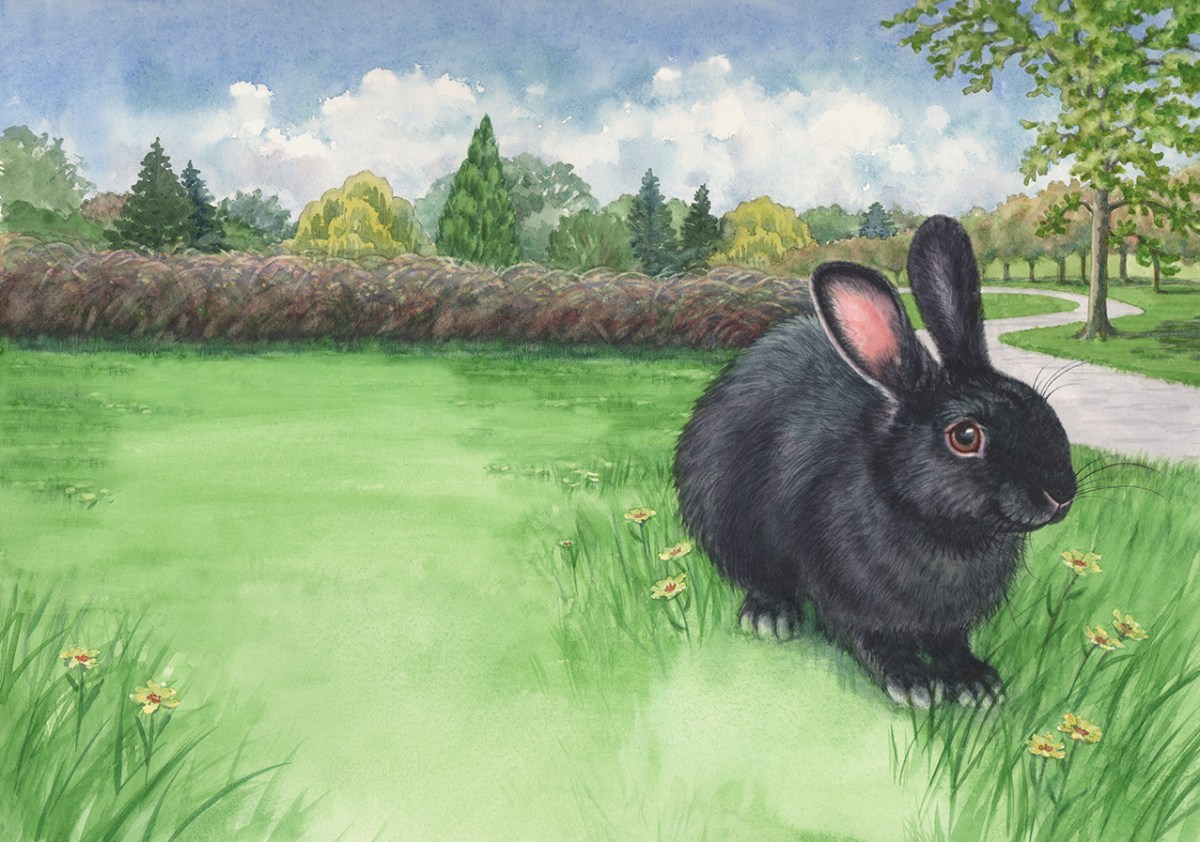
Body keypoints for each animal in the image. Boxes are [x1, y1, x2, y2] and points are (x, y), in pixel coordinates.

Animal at [673, 215, 1076, 707]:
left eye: (1040, 405)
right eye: (965, 436)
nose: (1061, 495)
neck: (942, 530)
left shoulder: (951, 623)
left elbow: (950, 644)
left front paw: (974, 683)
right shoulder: (846, 597)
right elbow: (871, 640)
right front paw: (913, 683)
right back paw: (770, 616)